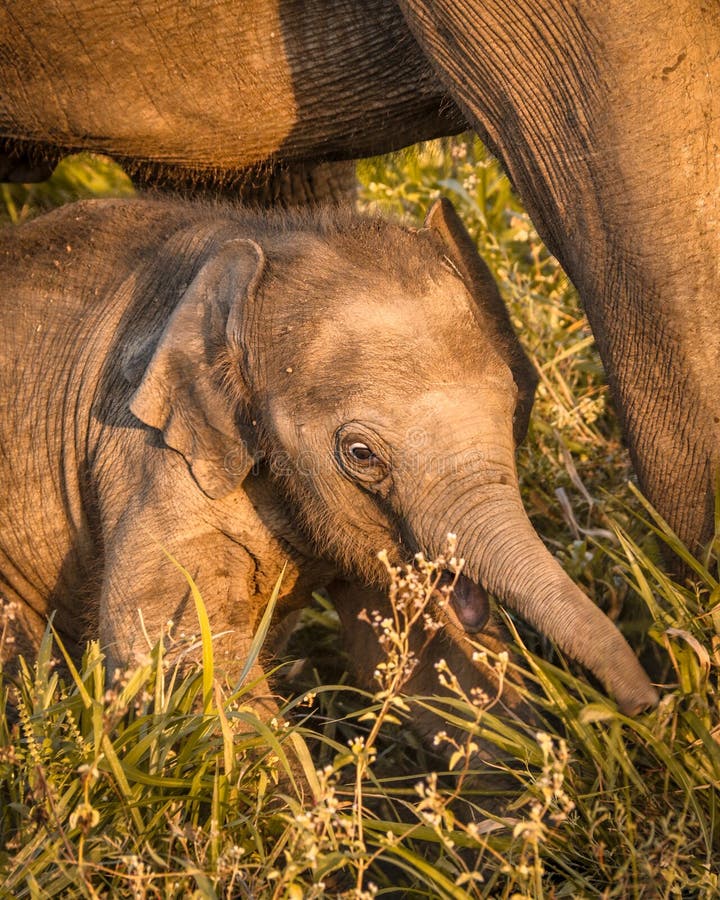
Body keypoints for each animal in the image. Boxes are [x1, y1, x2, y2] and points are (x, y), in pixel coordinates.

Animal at [0, 195, 657, 738]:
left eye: (516, 402)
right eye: (360, 454)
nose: (646, 704)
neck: (263, 241)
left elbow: (409, 657)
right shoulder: (153, 456)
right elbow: (171, 649)